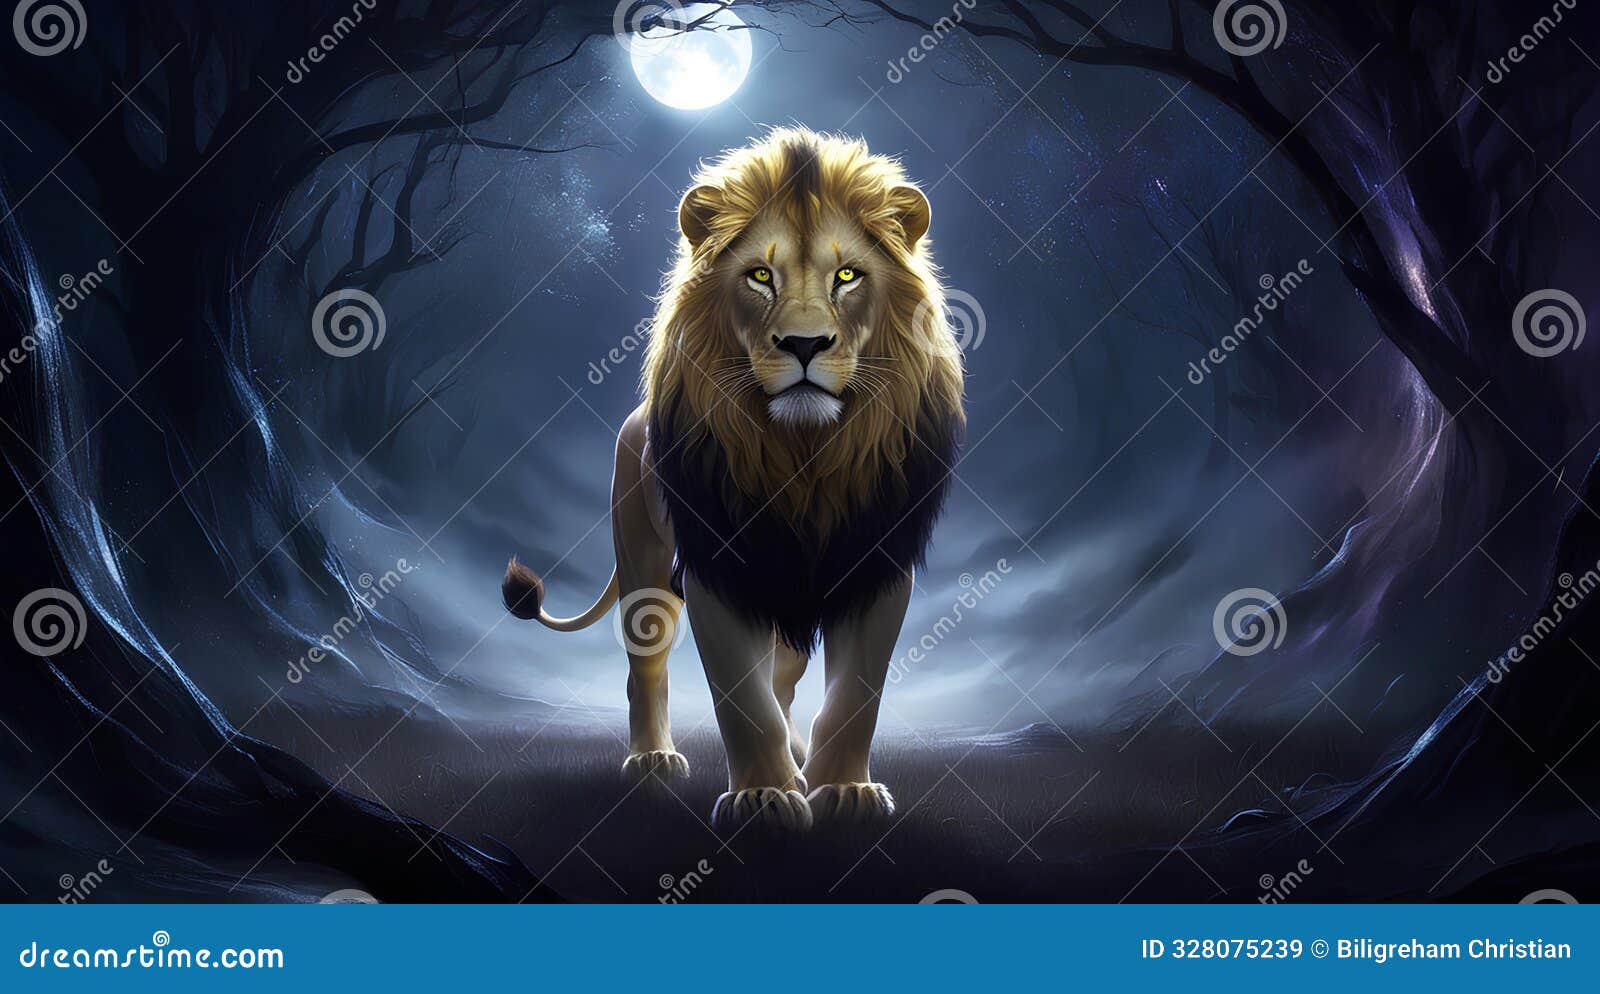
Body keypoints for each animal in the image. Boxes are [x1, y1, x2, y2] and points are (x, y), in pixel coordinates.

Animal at [502, 127, 965, 832]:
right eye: (760, 275)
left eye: (848, 275)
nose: (804, 344)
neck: (804, 454)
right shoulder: (718, 566)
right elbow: (741, 698)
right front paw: (764, 799)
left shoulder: (876, 563)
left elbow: (853, 695)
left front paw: (844, 791)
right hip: (645, 562)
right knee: (649, 669)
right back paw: (652, 762)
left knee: (785, 677)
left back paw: (800, 759)